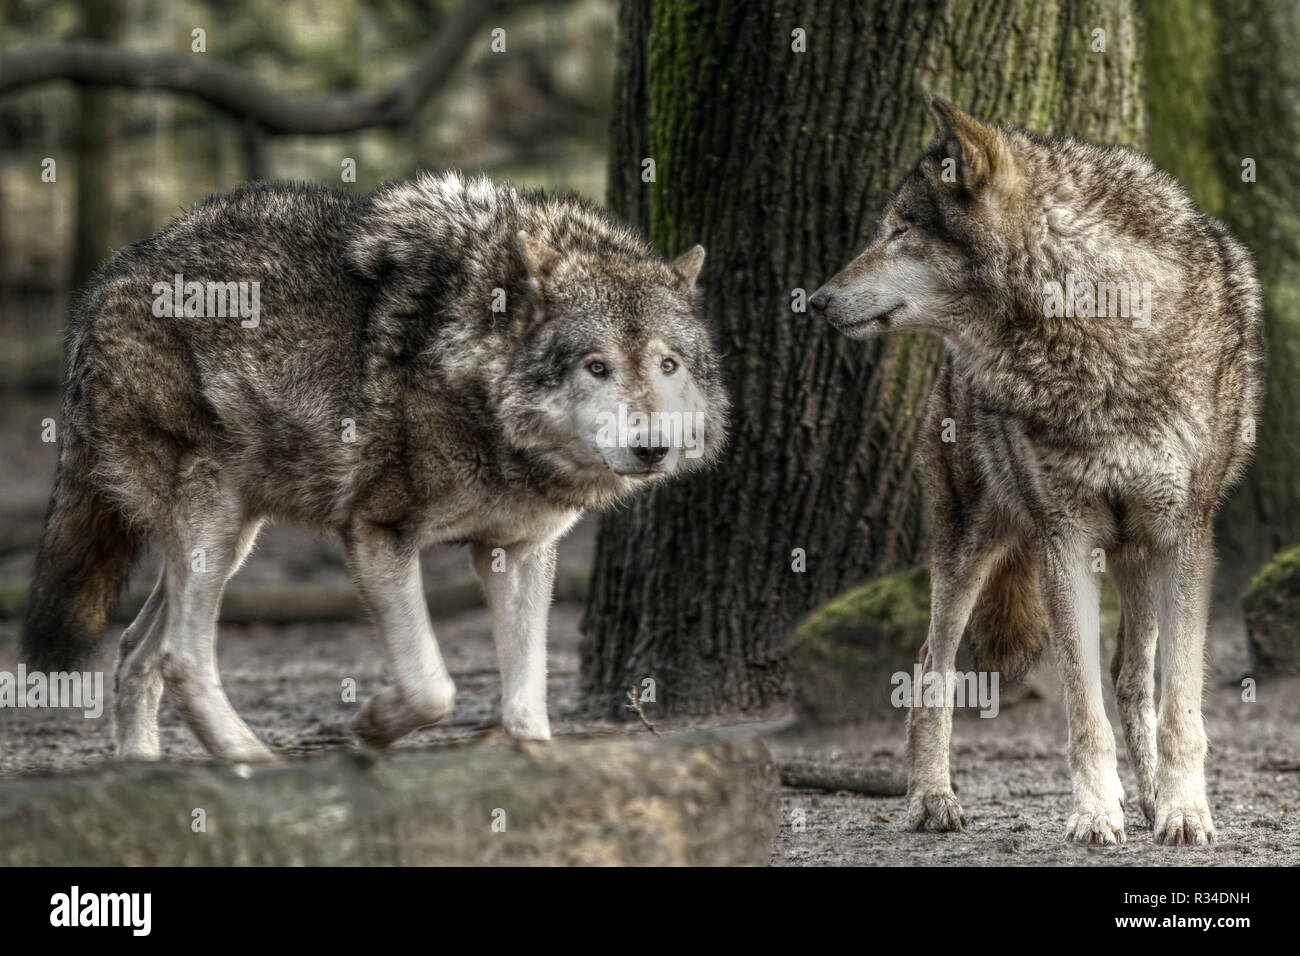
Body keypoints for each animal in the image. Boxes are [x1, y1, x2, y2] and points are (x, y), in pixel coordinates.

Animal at [22, 171, 728, 761]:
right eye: (596, 366)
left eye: (668, 365)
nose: (652, 448)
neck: (472, 374)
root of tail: (101, 286)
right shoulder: (377, 532)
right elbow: (433, 687)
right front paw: (371, 729)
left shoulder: (521, 551)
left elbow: (529, 705)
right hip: (213, 520)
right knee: (178, 657)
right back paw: (252, 761)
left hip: (231, 535)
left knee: (133, 649)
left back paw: (141, 769)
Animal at [812, 95, 1265, 845]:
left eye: (901, 230)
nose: (815, 300)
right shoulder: (1064, 538)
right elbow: (1084, 712)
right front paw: (1094, 813)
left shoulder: (1186, 538)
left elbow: (1180, 709)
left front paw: (1182, 812)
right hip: (968, 546)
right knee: (931, 665)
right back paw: (932, 799)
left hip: (1138, 554)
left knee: (1132, 676)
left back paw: (1149, 800)